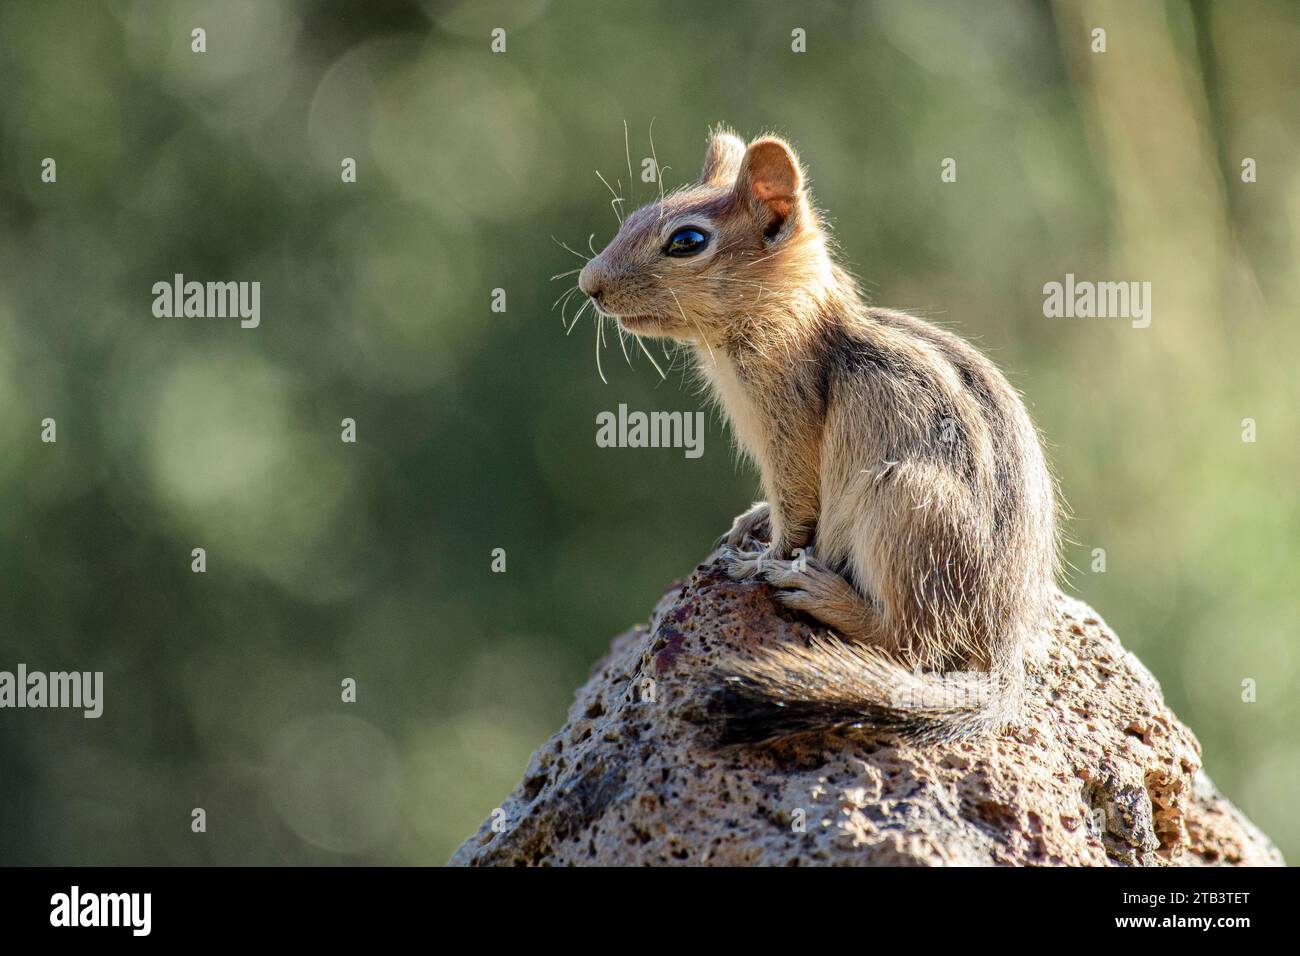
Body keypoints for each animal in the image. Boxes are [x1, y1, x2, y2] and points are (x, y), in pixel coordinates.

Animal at [577, 127, 1059, 745]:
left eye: (686, 241)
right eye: (634, 217)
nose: (589, 284)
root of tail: (1003, 648)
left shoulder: (789, 434)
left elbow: (795, 509)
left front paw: (760, 560)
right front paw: (750, 520)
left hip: (901, 500)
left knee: (909, 641)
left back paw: (820, 592)